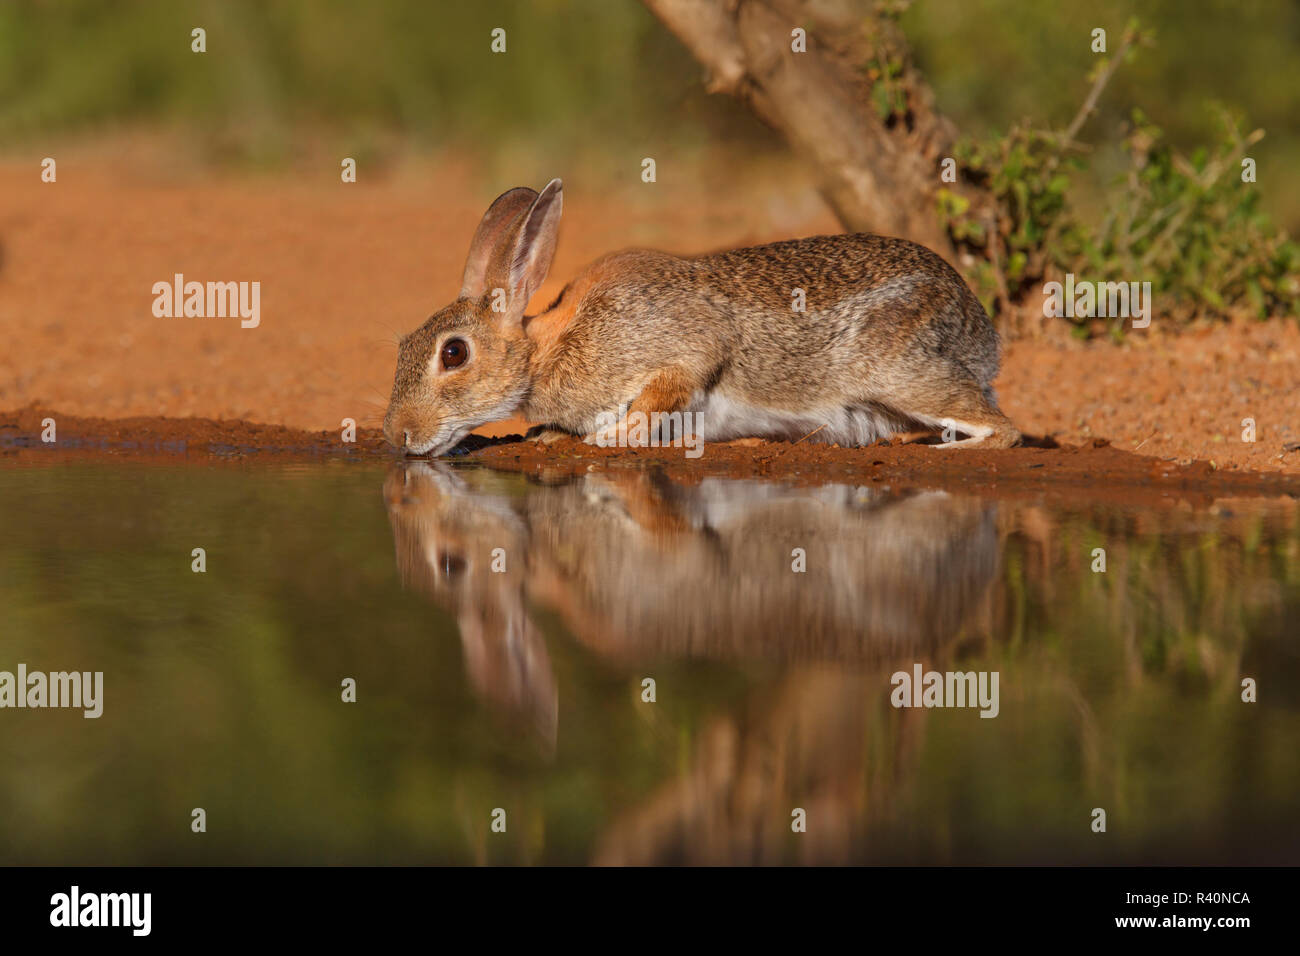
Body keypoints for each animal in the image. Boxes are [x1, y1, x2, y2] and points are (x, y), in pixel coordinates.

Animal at [383, 179, 1020, 456]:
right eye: (403, 345)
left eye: (454, 353)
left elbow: (665, 392)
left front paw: (612, 436)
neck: (545, 351)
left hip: (903, 371)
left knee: (1003, 429)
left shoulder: (679, 348)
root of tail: (979, 329)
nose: (398, 435)